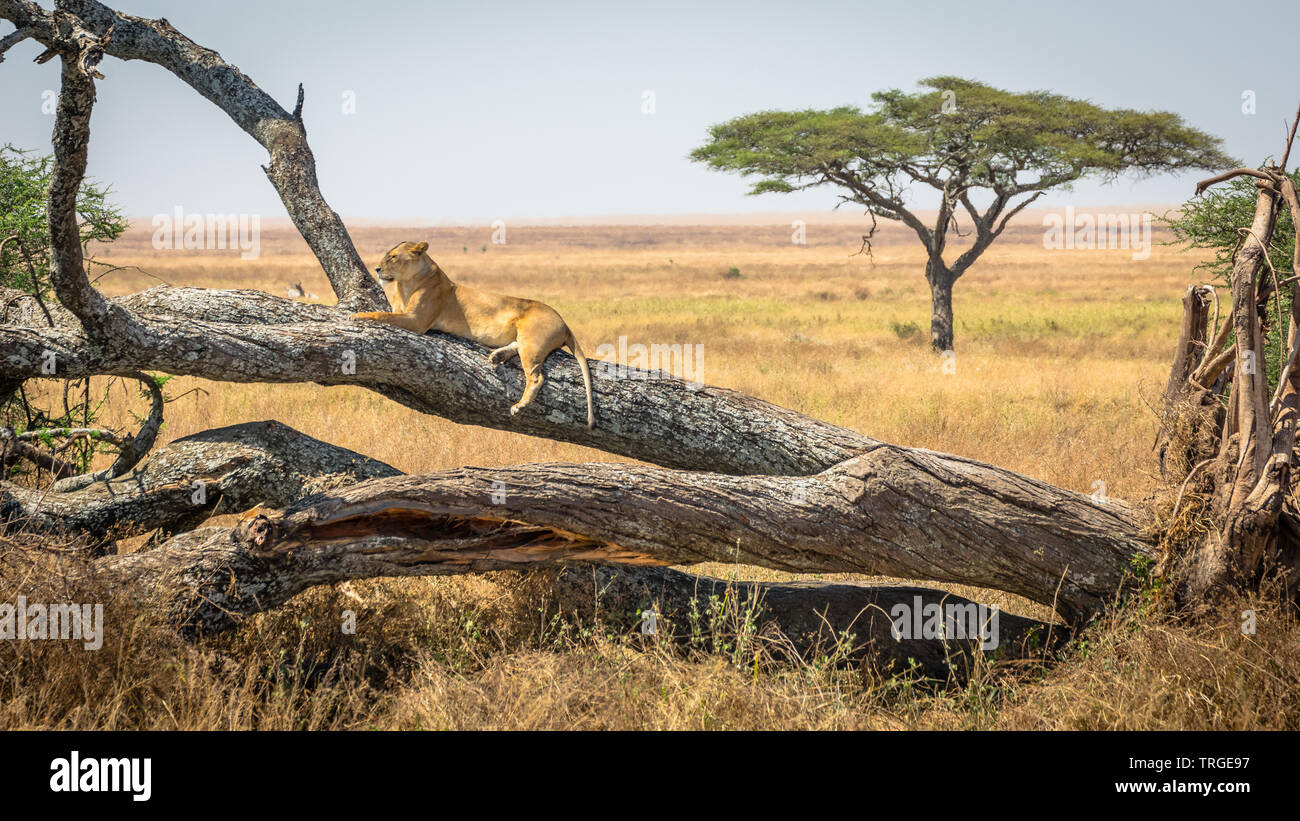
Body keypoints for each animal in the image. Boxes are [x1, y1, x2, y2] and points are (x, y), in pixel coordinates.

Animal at [352, 241, 595, 428]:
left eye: (393, 257)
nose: (377, 269)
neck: (404, 284)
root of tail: (564, 322)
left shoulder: (416, 320)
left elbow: (381, 314)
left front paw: (357, 315)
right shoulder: (403, 312)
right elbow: (387, 312)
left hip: (533, 342)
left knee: (536, 377)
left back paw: (520, 405)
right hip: (526, 340)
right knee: (517, 347)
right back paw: (497, 356)